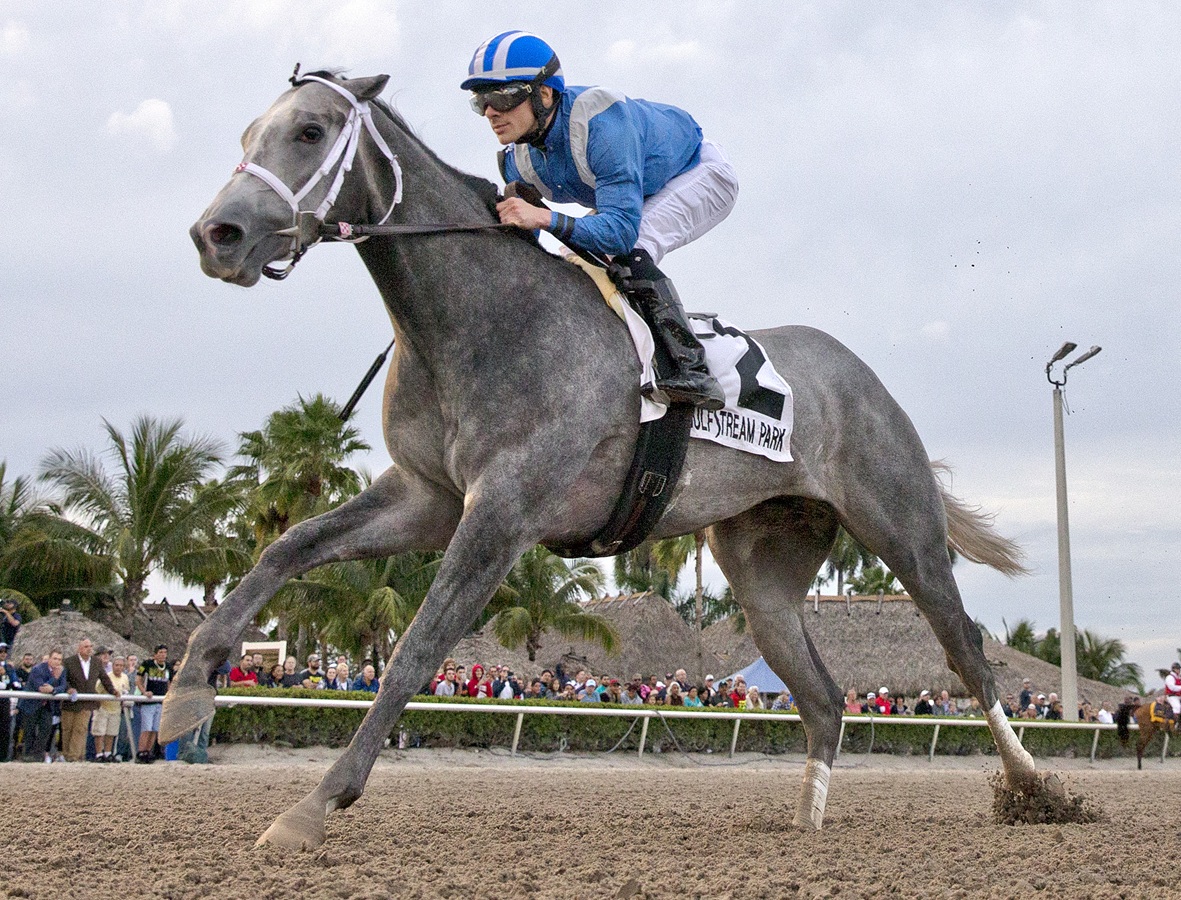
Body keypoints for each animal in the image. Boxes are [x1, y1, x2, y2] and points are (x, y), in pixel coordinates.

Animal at [173, 70, 1038, 850]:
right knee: (825, 698)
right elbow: (287, 547)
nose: (217, 236)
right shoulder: (428, 496)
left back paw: (1034, 790)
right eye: (248, 133)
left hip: (901, 528)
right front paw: (189, 689)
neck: (480, 320)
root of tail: (860, 374)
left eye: (309, 131)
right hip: (763, 571)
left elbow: (413, 651)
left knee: (968, 656)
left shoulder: (503, 513)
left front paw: (315, 803)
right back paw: (806, 821)